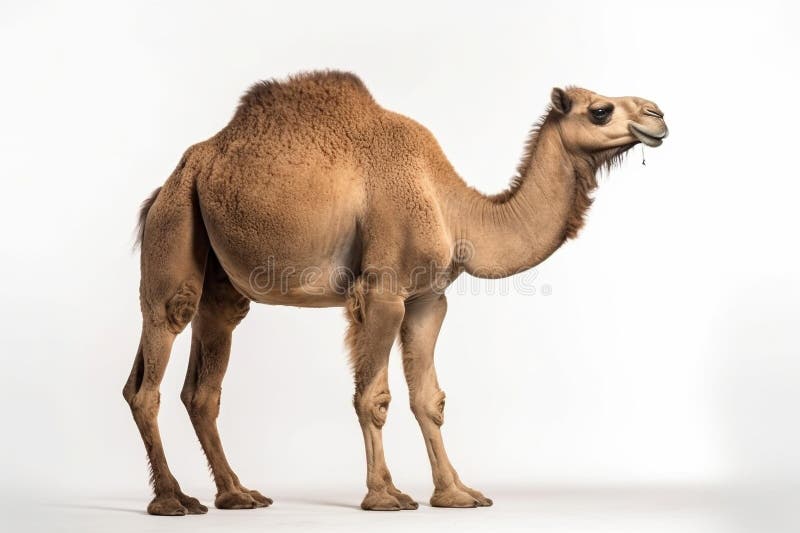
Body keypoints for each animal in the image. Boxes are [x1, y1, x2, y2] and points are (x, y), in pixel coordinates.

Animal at [123, 70, 668, 515]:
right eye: (600, 109)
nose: (658, 115)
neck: (454, 209)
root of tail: (173, 178)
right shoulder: (381, 292)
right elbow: (374, 397)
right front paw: (385, 495)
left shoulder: (428, 299)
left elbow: (430, 399)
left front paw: (457, 494)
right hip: (175, 225)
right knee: (155, 359)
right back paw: (172, 500)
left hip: (219, 275)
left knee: (202, 384)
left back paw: (236, 494)